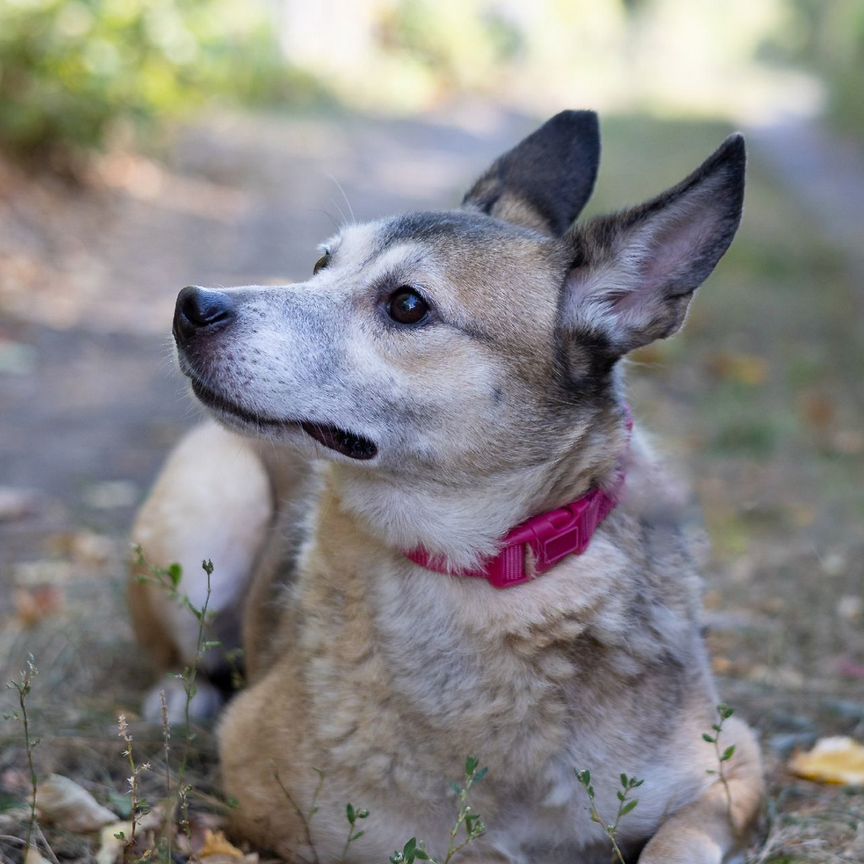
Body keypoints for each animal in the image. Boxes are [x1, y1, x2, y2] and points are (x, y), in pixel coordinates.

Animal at [128, 111, 764, 860]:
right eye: (321, 265)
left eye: (407, 305)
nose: (191, 304)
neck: (486, 573)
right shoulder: (268, 788)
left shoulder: (729, 769)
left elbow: (676, 843)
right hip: (206, 516)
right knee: (187, 654)